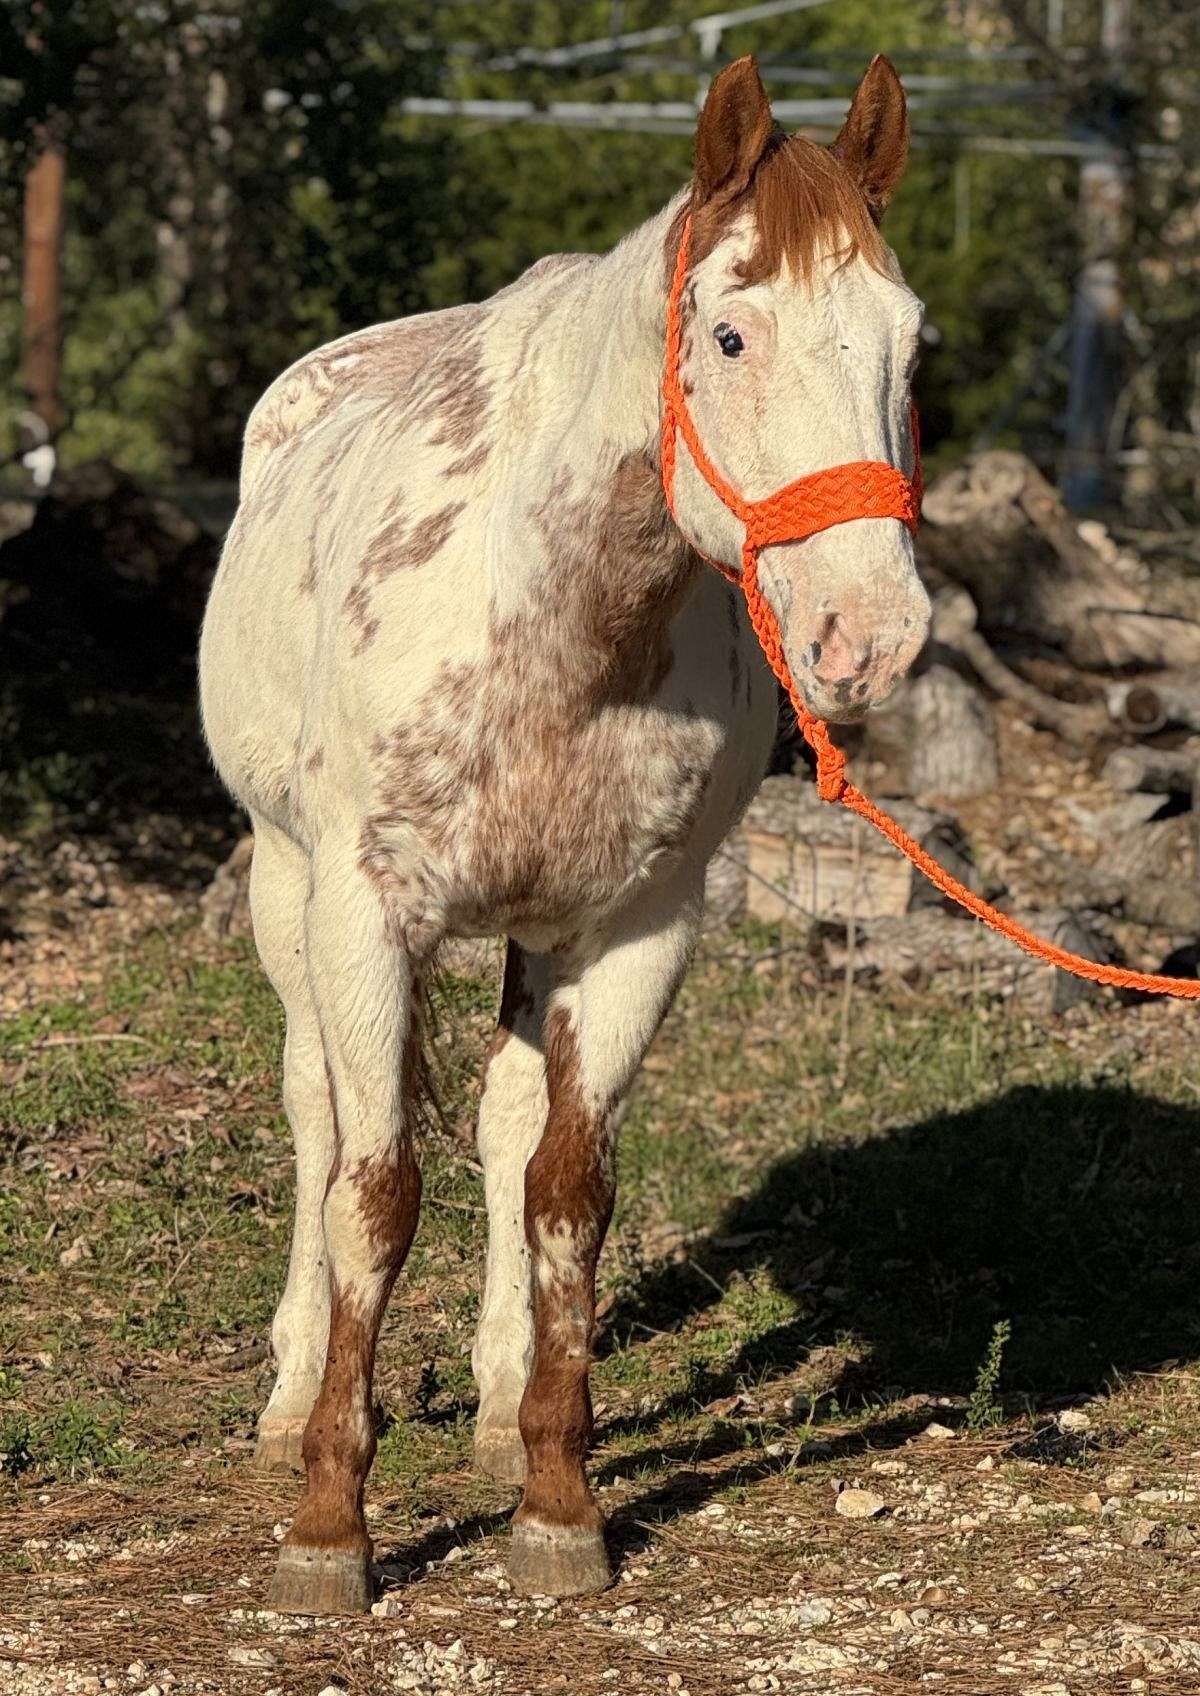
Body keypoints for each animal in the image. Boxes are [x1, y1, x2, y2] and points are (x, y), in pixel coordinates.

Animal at [198, 53, 930, 1614]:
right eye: (729, 332)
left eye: (911, 346)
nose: (871, 632)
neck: (553, 609)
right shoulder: (364, 915)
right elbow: (371, 1192)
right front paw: (328, 1528)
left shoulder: (635, 927)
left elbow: (564, 1188)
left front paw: (554, 1502)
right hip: (287, 895)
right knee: (313, 1114)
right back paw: (290, 1400)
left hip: (531, 931)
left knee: (502, 1122)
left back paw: (487, 1403)